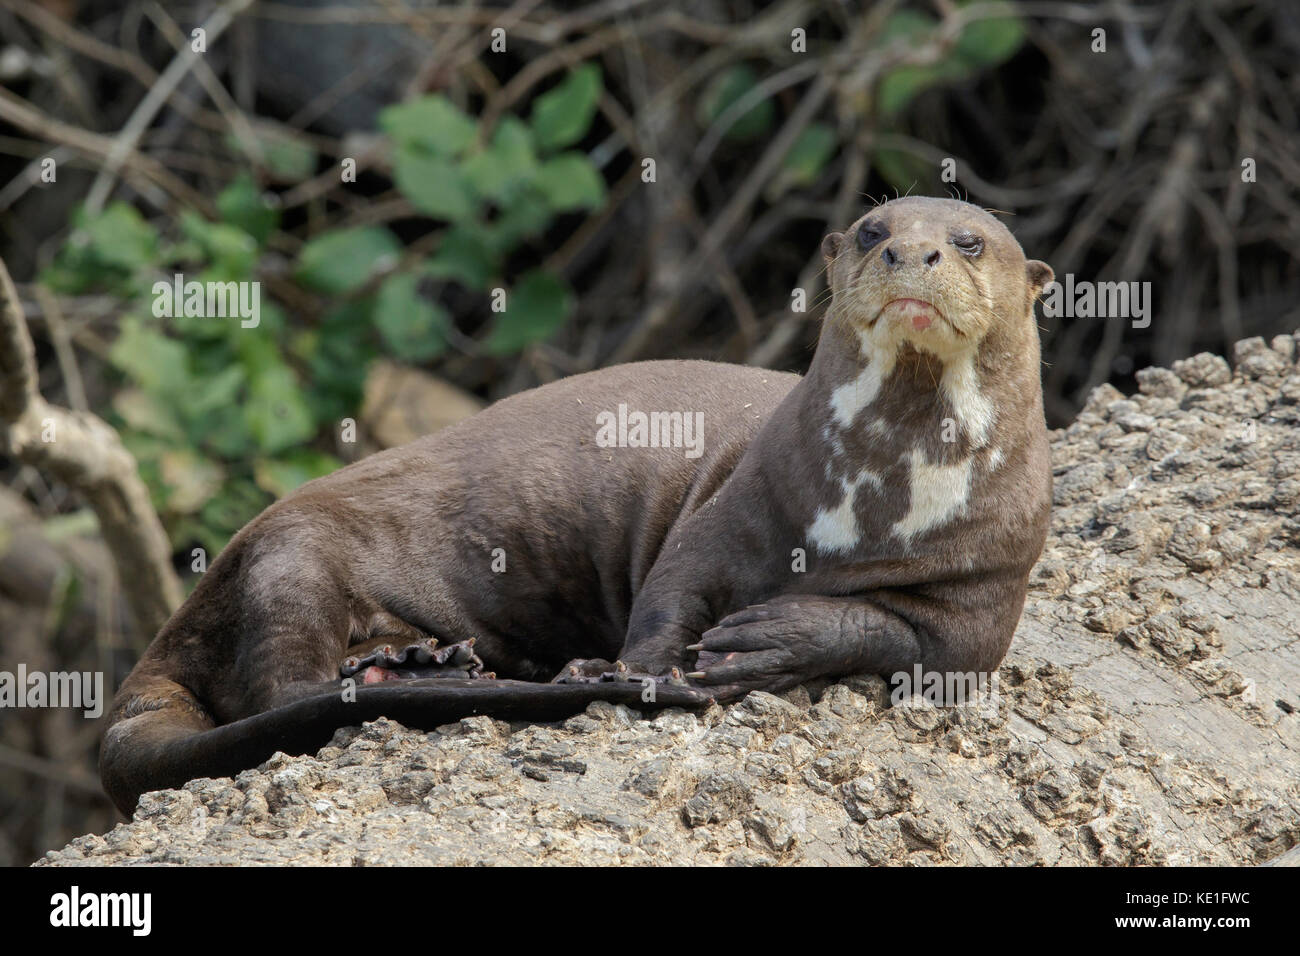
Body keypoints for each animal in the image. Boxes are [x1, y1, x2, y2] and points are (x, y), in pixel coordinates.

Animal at [100, 197, 1054, 814]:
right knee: (283, 682)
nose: (910, 256)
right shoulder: (731, 508)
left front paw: (769, 640)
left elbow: (902, 637)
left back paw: (423, 663)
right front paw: (629, 673)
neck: (877, 496)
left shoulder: (987, 587)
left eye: (968, 241)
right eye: (871, 230)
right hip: (288, 552)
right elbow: (669, 595)